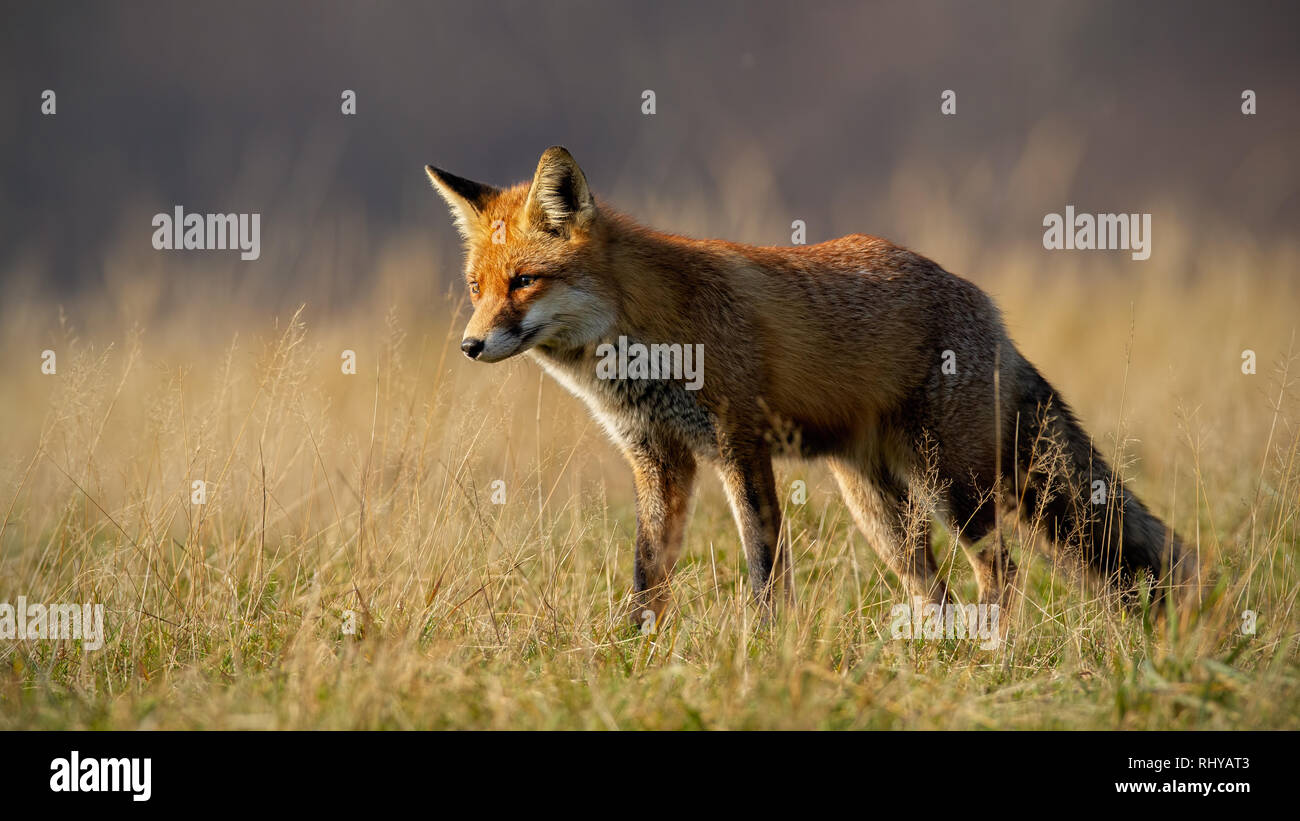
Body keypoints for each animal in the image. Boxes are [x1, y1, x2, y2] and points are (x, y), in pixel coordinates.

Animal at [426, 145, 1197, 628]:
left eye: (524, 281)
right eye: (476, 287)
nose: (469, 345)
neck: (646, 337)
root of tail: (985, 303)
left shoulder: (738, 443)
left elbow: (765, 566)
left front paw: (765, 645)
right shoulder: (659, 459)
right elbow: (649, 575)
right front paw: (631, 651)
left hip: (954, 487)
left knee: (1001, 570)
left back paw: (990, 651)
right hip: (880, 509)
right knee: (936, 588)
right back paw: (938, 657)